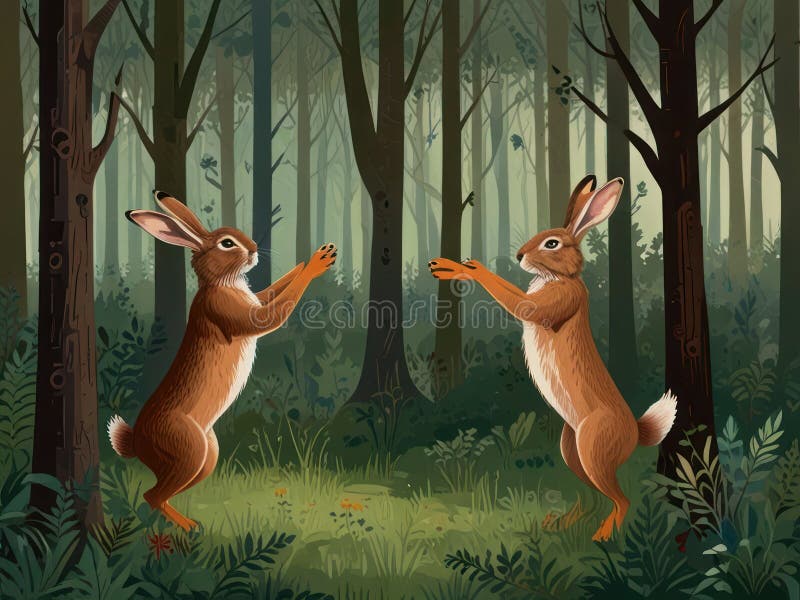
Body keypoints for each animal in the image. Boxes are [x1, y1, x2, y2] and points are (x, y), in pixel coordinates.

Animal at [108, 191, 337, 531]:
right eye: (227, 243)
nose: (254, 250)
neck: (220, 282)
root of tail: (136, 443)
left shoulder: (256, 299)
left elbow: (274, 290)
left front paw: (303, 261)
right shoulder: (241, 315)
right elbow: (276, 311)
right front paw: (317, 263)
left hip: (207, 456)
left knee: (164, 491)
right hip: (188, 448)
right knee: (152, 495)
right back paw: (187, 527)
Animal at [428, 175, 676, 541]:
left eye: (552, 244)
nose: (519, 255)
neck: (562, 277)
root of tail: (636, 432)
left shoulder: (542, 306)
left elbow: (512, 298)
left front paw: (465, 268)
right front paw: (448, 268)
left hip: (592, 448)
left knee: (621, 500)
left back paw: (603, 536)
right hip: (571, 449)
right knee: (592, 497)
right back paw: (560, 525)